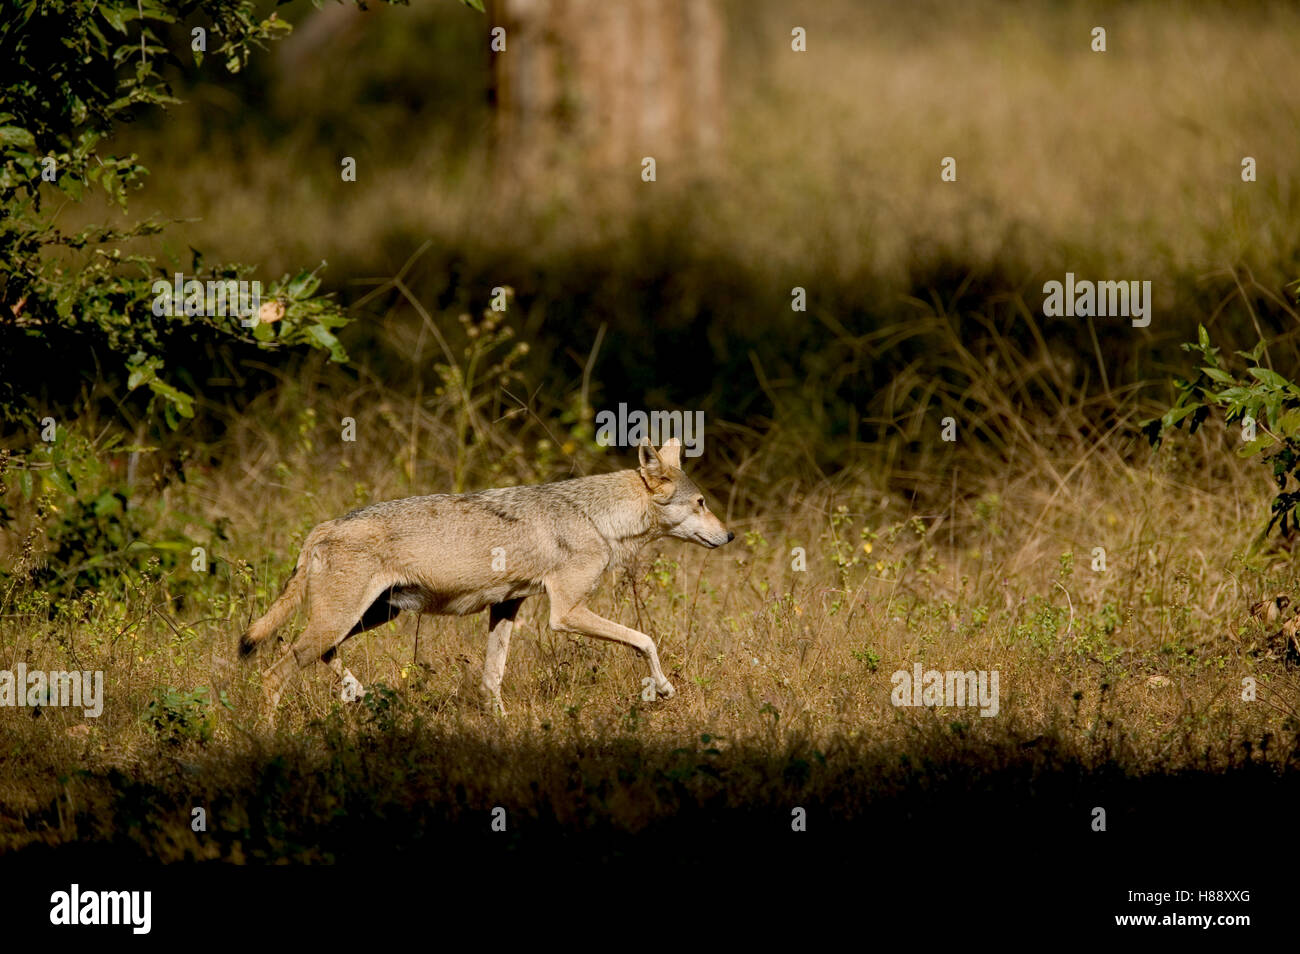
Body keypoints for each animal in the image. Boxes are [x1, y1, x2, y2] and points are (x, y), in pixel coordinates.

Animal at [238, 438, 733, 713]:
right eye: (702, 503)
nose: (729, 535)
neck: (598, 519)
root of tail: (324, 526)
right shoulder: (565, 613)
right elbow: (645, 640)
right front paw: (663, 687)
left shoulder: (507, 606)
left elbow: (491, 680)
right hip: (341, 620)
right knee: (274, 674)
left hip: (371, 617)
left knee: (318, 655)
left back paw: (354, 690)